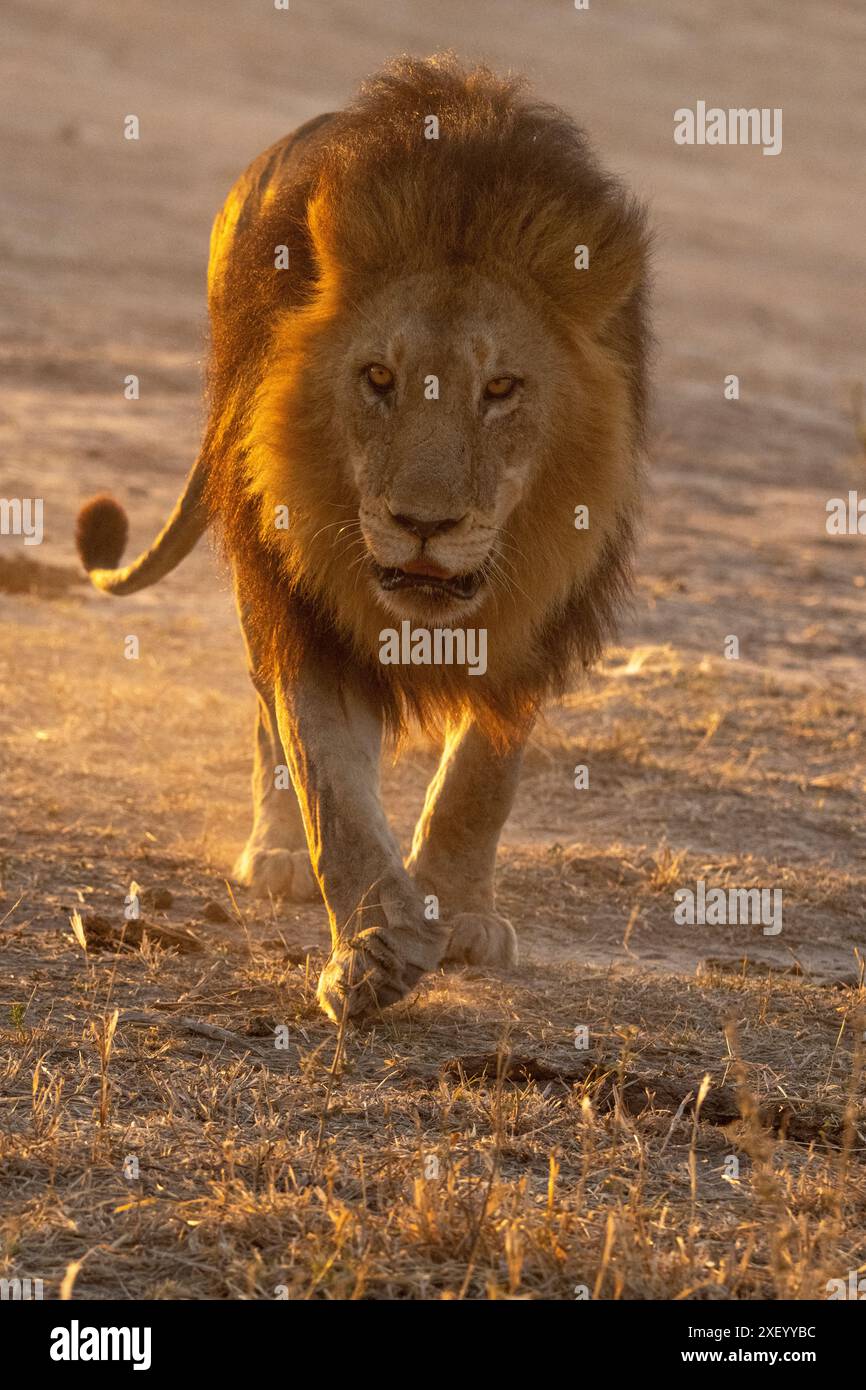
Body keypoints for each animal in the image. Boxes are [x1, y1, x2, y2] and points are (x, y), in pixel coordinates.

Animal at [75, 56, 651, 1024]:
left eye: (502, 388)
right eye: (378, 378)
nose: (424, 523)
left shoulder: (536, 609)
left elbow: (479, 782)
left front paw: (457, 910)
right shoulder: (300, 599)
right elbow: (329, 783)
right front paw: (376, 949)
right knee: (267, 721)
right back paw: (275, 853)